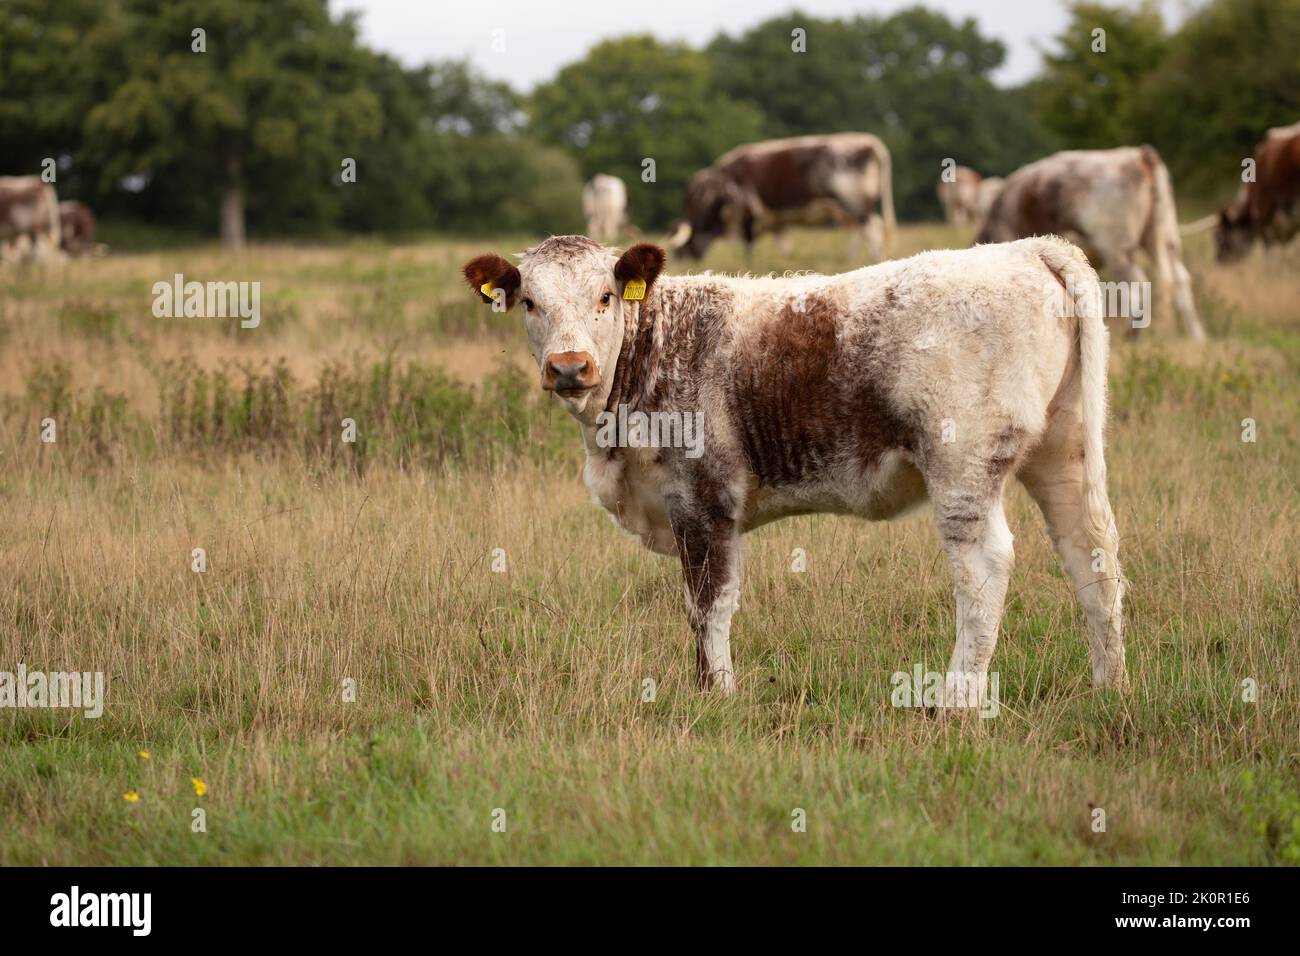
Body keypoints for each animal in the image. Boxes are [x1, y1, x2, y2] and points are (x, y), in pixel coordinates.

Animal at [462, 234, 1127, 704]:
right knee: (1090, 551)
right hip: (1064, 450)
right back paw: (1110, 686)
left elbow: (708, 602)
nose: (569, 366)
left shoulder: (703, 498)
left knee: (983, 568)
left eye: (604, 297)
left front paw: (714, 693)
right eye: (530, 302)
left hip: (963, 464)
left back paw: (958, 699)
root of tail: (1028, 247)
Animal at [668, 132, 896, 262]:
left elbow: (749, 246)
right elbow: (783, 247)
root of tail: (870, 142)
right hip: (848, 210)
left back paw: (873, 260)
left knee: (873, 231)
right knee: (862, 232)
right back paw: (852, 261)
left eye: (676, 247)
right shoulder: (775, 221)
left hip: (855, 205)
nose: (677, 263)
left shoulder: (749, 213)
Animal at [977, 146, 1206, 341]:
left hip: (1118, 248)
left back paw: (1135, 335)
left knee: (1138, 284)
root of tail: (1140, 154)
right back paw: (1196, 336)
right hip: (1166, 238)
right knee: (1180, 280)